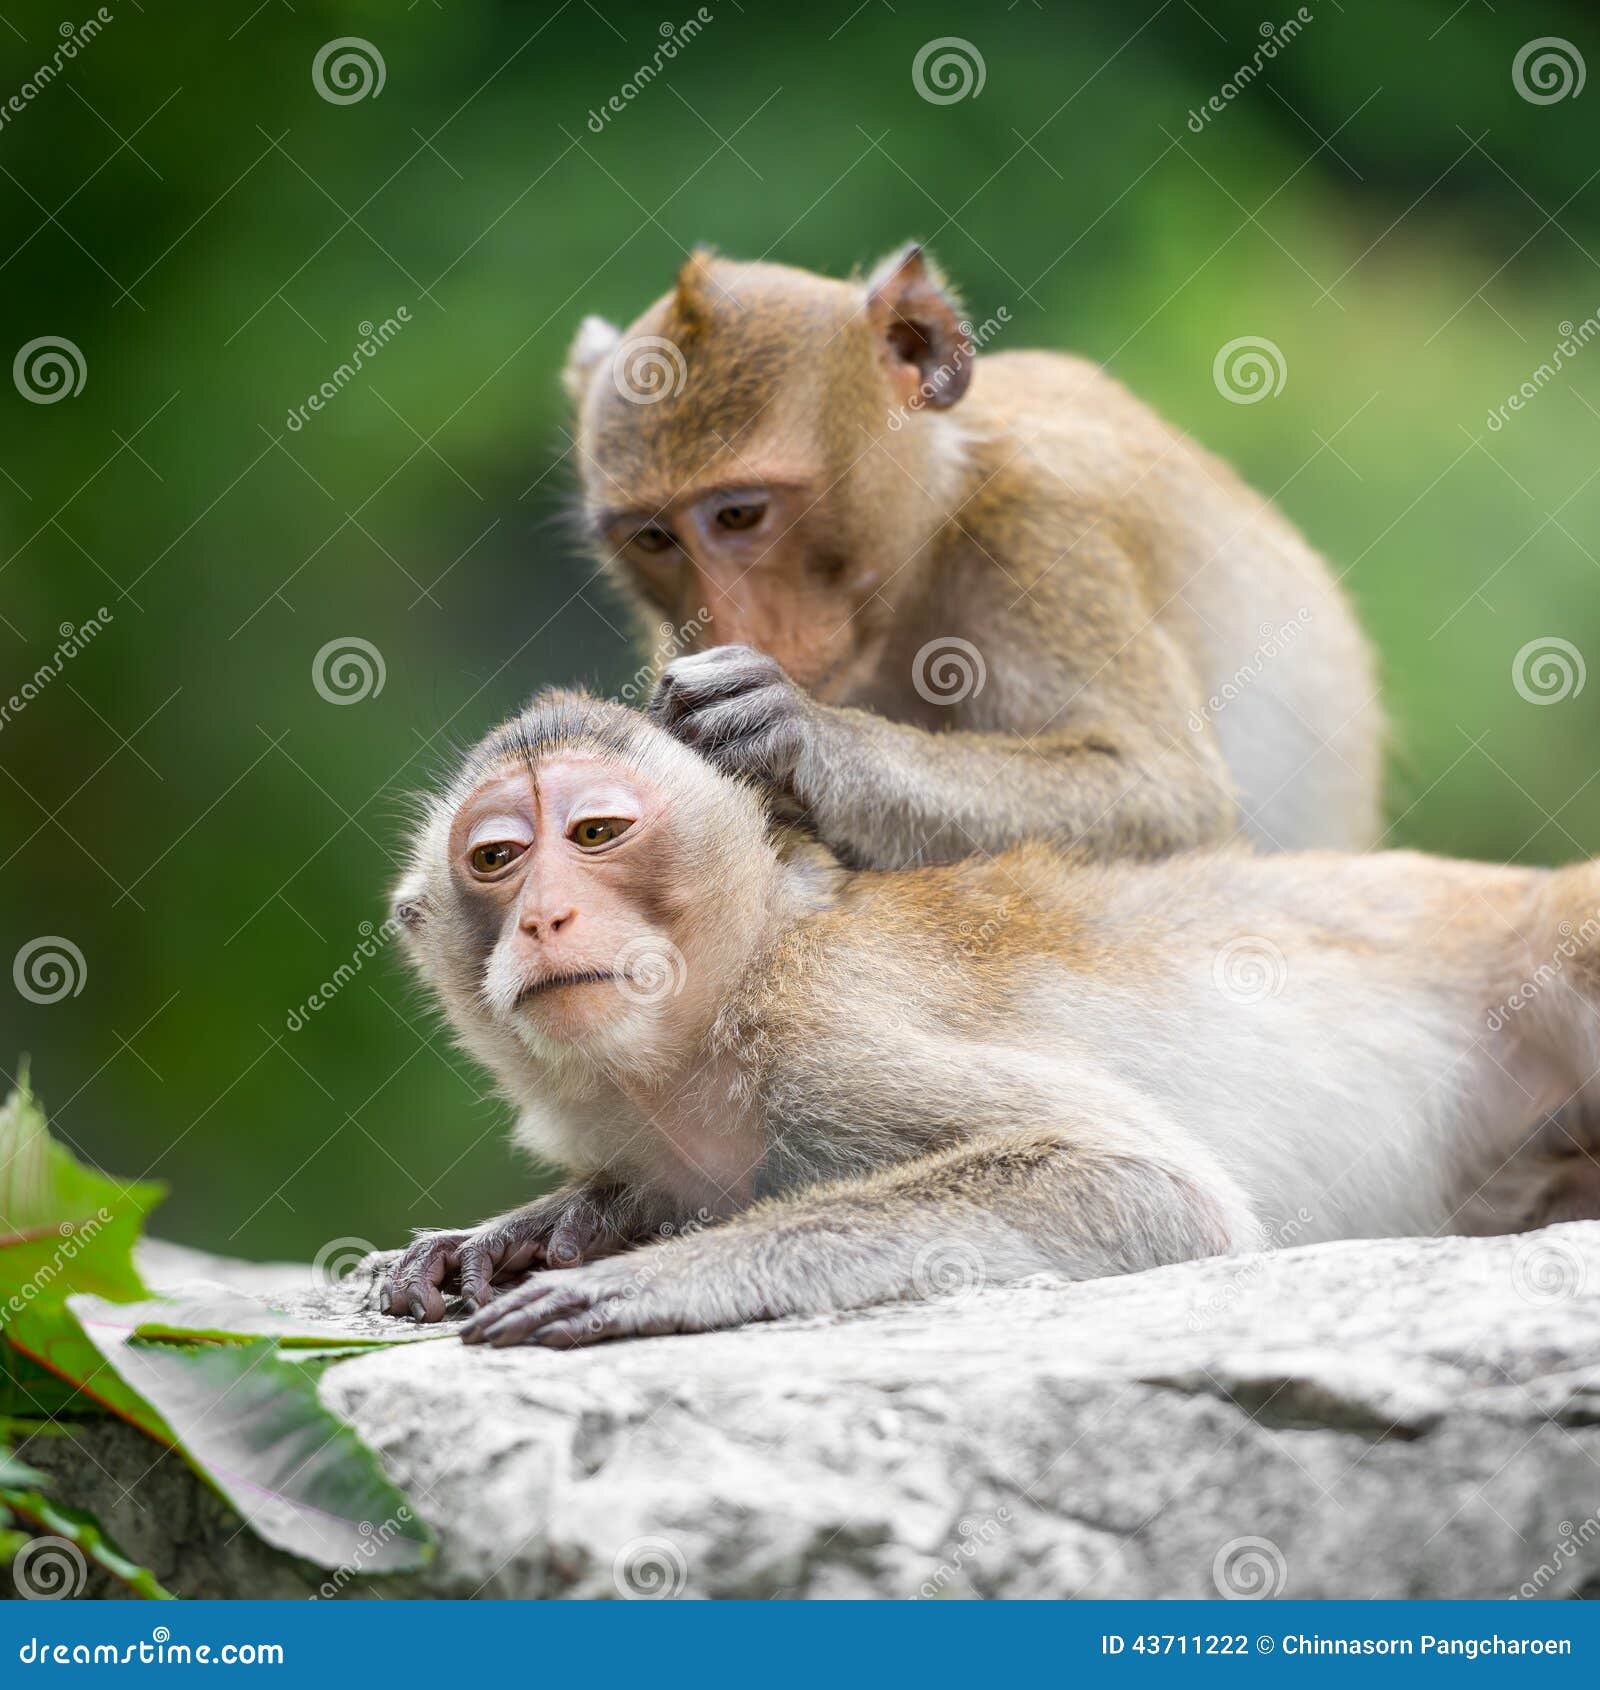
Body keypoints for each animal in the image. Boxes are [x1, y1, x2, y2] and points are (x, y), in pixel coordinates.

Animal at [377, 690, 1597, 1347]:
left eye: (594, 833)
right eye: (497, 858)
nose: (547, 915)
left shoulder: (819, 1028)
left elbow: (1143, 1183)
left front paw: (648, 1279)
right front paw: (538, 1229)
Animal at [560, 245, 1383, 872]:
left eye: (739, 515)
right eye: (654, 539)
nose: (725, 623)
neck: (933, 530)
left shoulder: (1041, 526)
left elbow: (1168, 798)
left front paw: (799, 732)